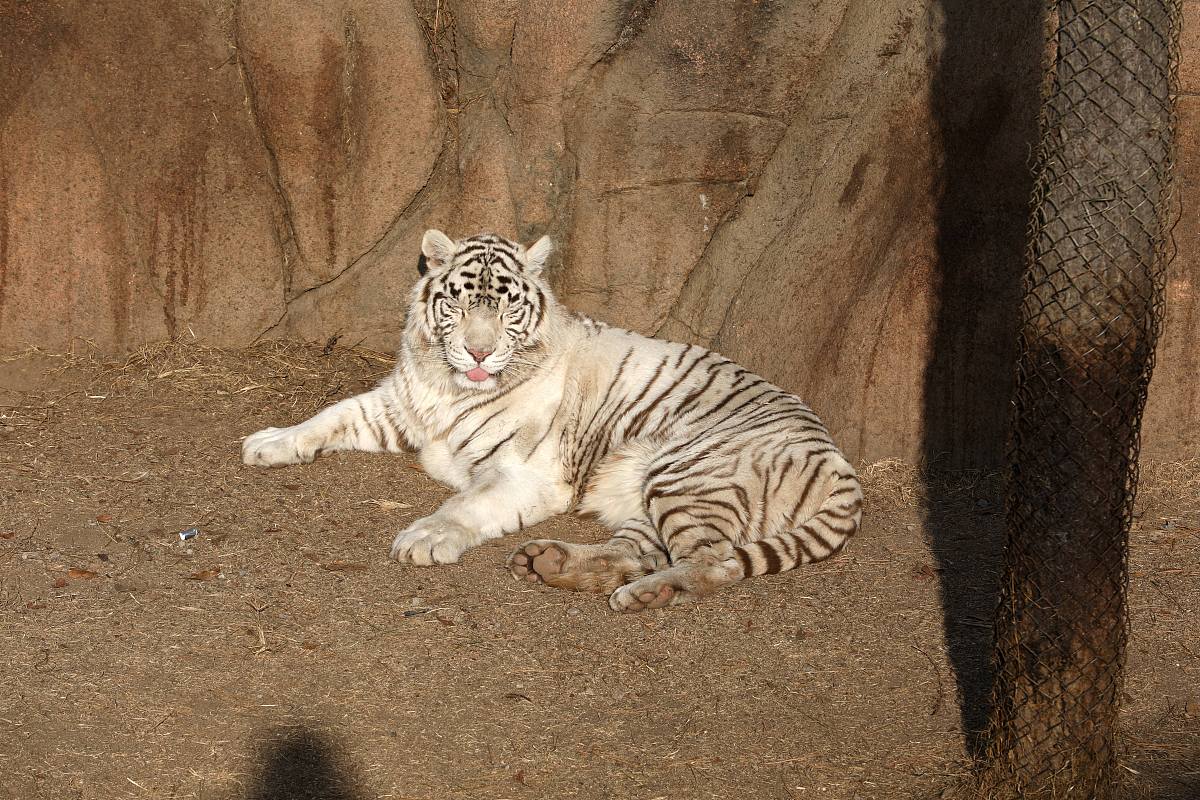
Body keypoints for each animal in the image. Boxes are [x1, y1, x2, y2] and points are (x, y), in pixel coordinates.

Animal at [242, 229, 862, 612]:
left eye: (508, 307)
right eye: (458, 303)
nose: (479, 352)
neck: (448, 386)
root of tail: (839, 463)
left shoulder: (525, 473)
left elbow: (464, 503)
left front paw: (425, 537)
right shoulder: (397, 404)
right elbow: (330, 414)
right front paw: (270, 441)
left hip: (687, 470)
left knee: (716, 562)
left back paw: (647, 595)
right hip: (658, 494)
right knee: (636, 551)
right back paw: (553, 563)